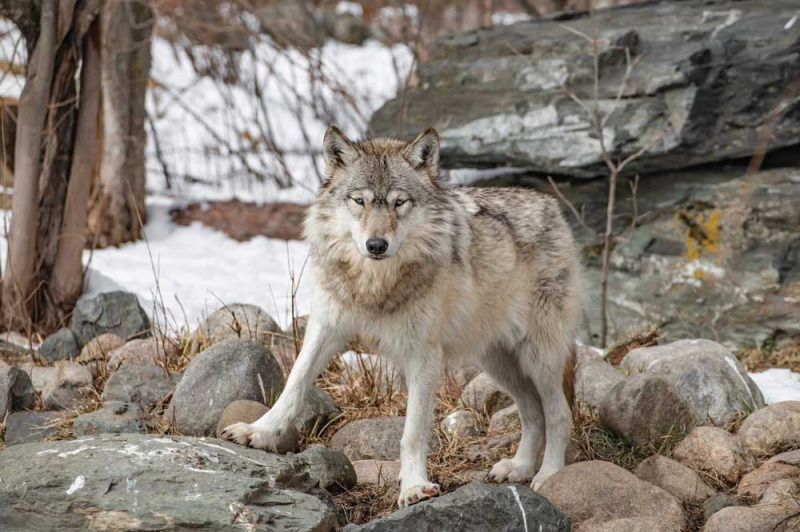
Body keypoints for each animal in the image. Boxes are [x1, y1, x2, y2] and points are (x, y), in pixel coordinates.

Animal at [222, 126, 581, 508]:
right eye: (359, 201)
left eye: (399, 202)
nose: (376, 245)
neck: (374, 285)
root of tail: (550, 206)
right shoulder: (326, 328)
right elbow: (295, 383)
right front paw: (259, 431)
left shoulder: (423, 356)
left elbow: (413, 432)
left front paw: (413, 487)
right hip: (498, 363)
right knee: (533, 414)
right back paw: (519, 467)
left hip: (538, 358)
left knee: (558, 413)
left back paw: (548, 475)